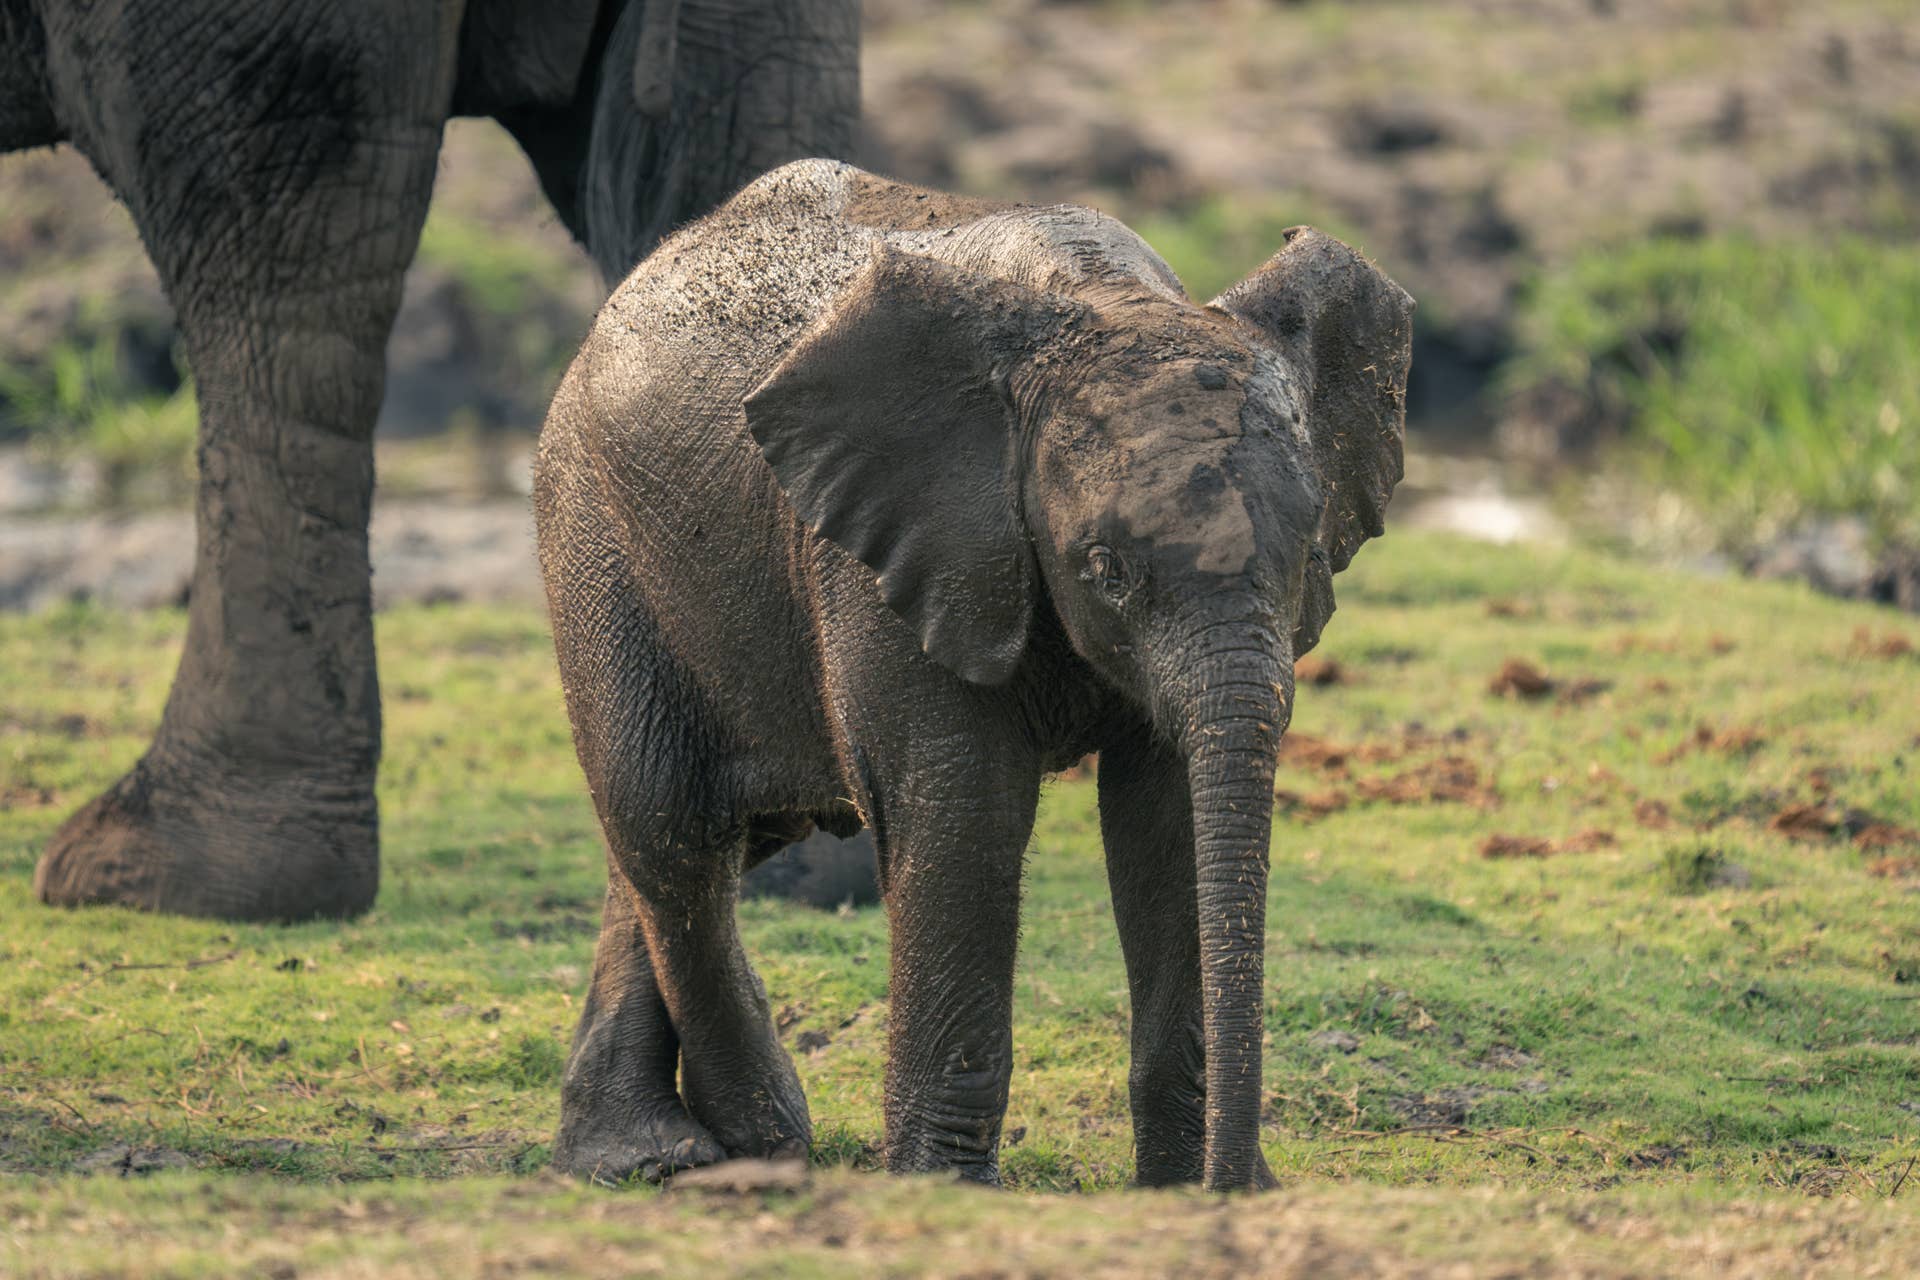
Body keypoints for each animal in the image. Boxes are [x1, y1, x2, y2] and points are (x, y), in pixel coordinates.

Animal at [533, 159, 1412, 1190]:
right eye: (1106, 568)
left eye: (1311, 554)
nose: (1237, 1187)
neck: (1101, 299)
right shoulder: (893, 546)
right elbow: (965, 812)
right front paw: (945, 1186)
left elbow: (1169, 818)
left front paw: (1178, 1184)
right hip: (595, 539)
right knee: (672, 827)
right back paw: (752, 1146)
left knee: (693, 842)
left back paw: (639, 1155)